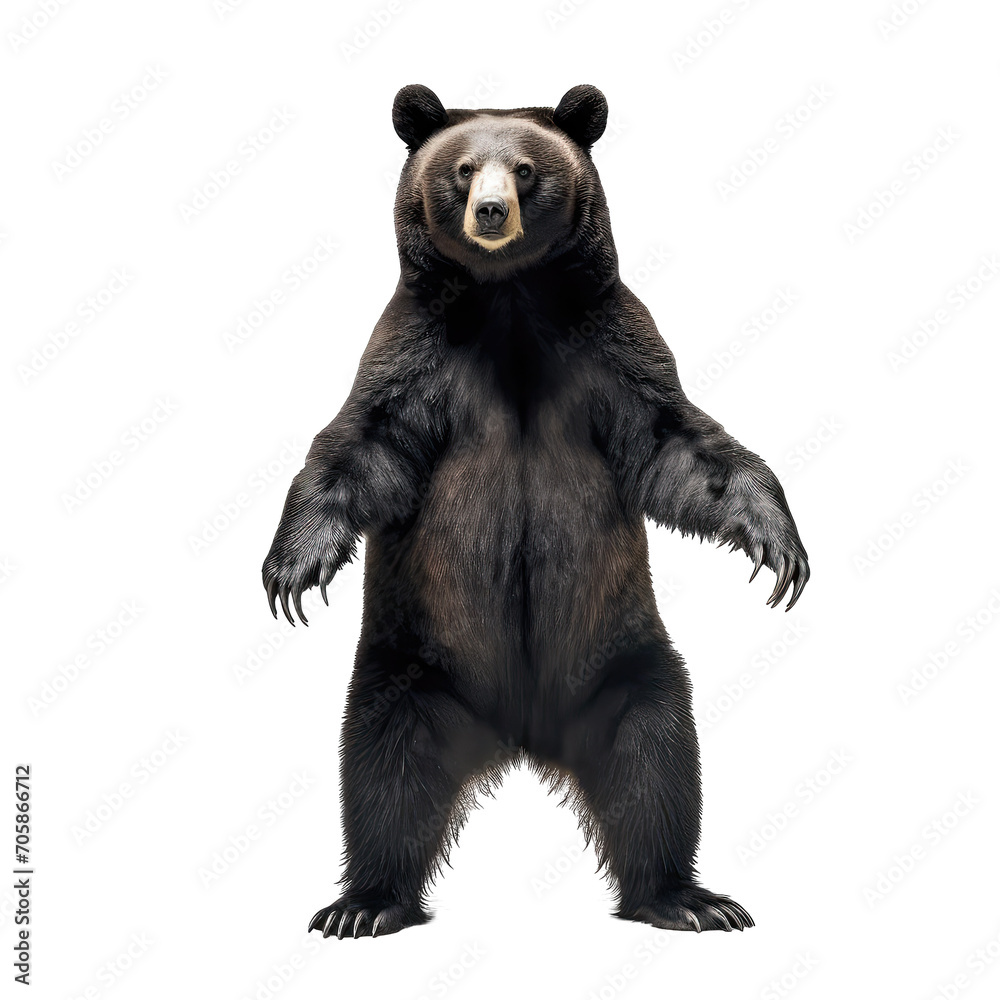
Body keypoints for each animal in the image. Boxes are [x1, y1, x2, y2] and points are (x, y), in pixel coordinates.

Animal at [262, 84, 809, 939]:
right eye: (461, 169)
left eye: (524, 168)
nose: (491, 211)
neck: (508, 298)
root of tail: (517, 738)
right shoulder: (416, 353)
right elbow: (362, 444)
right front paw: (293, 563)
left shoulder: (611, 346)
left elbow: (679, 442)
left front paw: (778, 544)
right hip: (413, 663)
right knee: (383, 770)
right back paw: (366, 903)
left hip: (623, 661)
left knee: (657, 762)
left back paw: (688, 897)